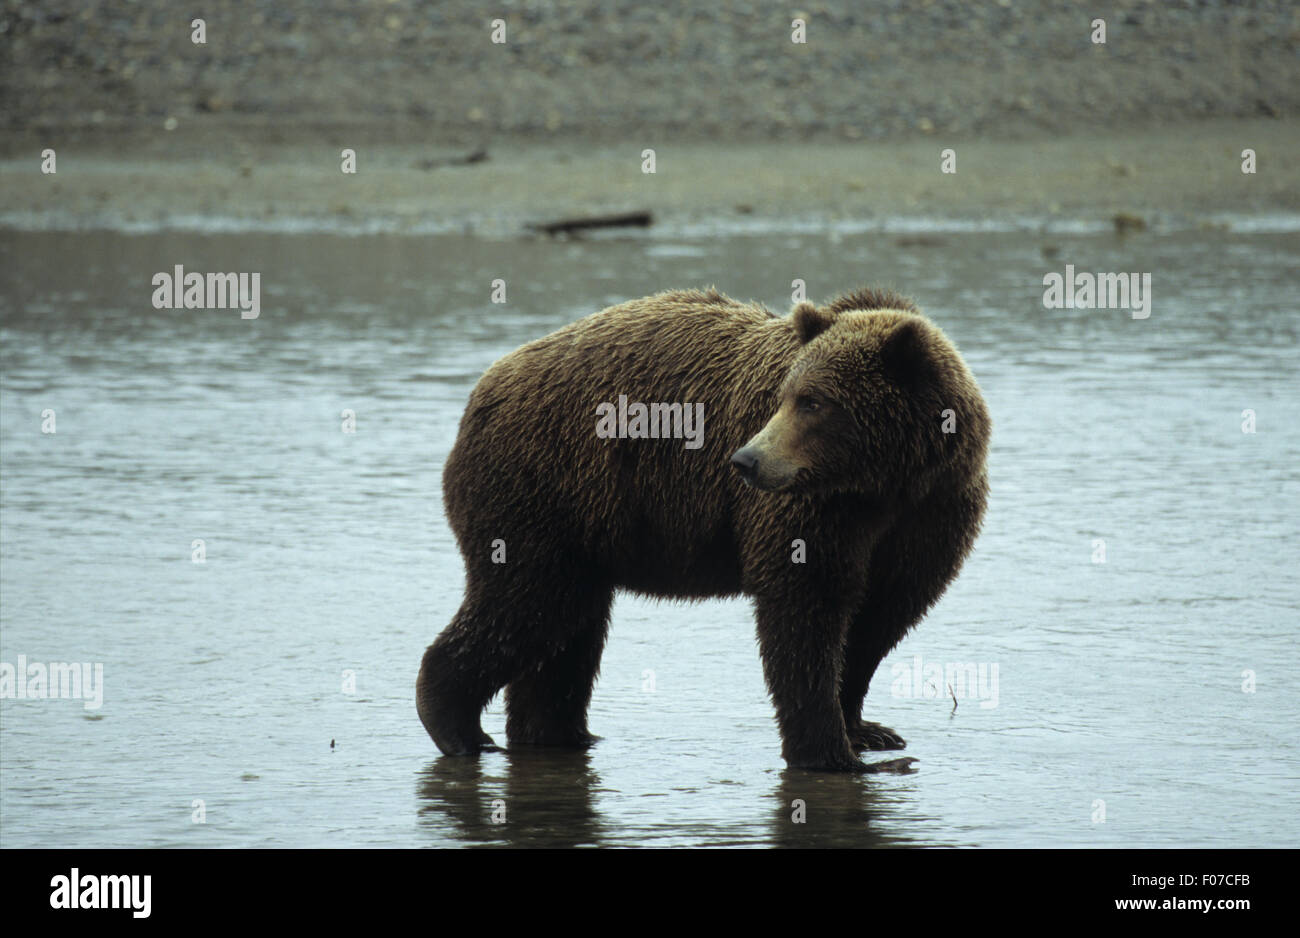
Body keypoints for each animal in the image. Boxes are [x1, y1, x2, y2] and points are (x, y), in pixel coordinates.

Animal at [417, 287, 990, 772]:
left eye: (815, 401)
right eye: (789, 395)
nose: (747, 461)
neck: (884, 485)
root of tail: (483, 390)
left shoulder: (930, 516)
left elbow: (879, 621)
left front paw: (867, 731)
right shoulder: (812, 515)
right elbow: (804, 613)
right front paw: (830, 753)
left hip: (581, 526)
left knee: (567, 629)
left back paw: (558, 733)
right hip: (544, 489)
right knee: (528, 605)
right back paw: (457, 726)